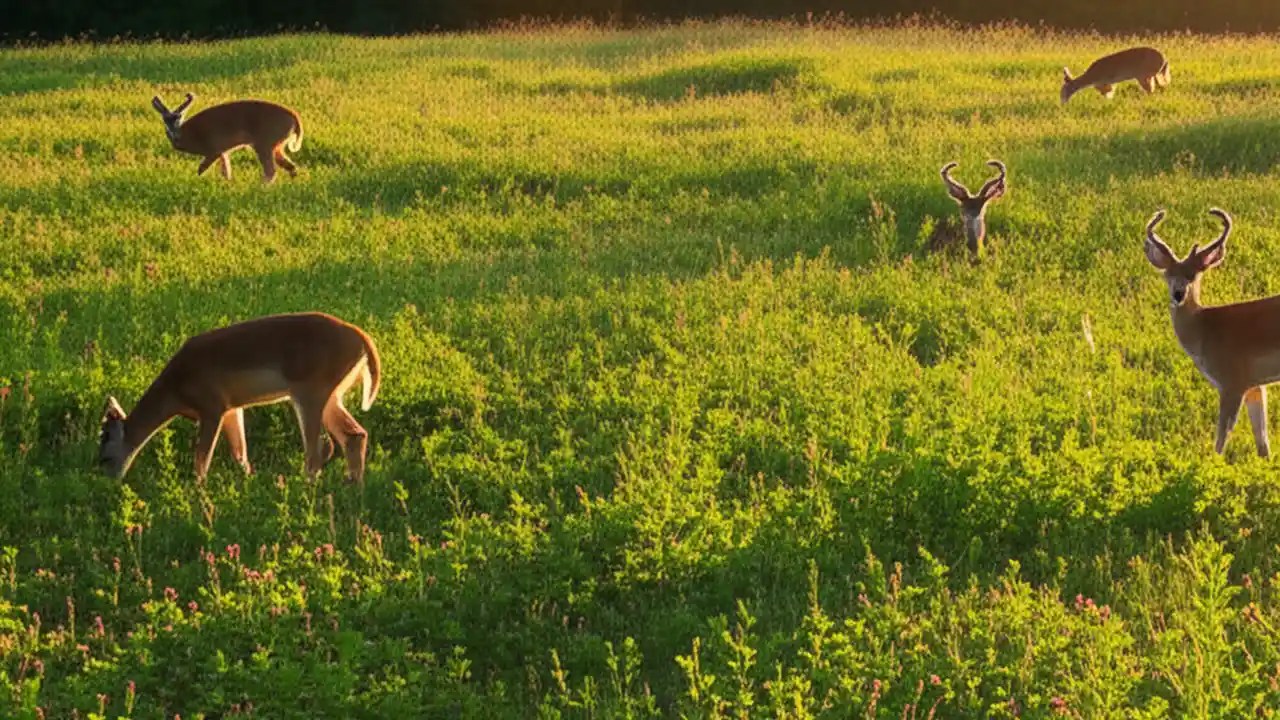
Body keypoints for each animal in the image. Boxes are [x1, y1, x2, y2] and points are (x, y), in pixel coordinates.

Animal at [98, 312, 381, 484]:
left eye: (105, 457)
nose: (109, 483)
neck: (176, 389)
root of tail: (362, 338)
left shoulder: (211, 406)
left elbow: (202, 458)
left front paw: (199, 493)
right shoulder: (231, 408)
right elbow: (240, 453)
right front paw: (247, 482)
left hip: (310, 392)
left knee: (318, 448)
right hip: (331, 394)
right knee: (354, 435)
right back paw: (353, 485)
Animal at [151, 93, 304, 183]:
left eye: (179, 117)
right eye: (165, 120)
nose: (174, 134)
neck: (194, 135)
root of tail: (295, 118)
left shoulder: (213, 148)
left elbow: (201, 169)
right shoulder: (222, 151)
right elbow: (226, 171)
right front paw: (227, 184)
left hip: (265, 141)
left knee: (271, 170)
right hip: (275, 144)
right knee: (290, 166)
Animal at [1143, 207, 1280, 459]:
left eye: (1193, 276)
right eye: (1167, 275)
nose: (1178, 294)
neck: (1204, 331)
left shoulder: (1233, 380)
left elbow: (1221, 437)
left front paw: (1212, 463)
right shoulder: (1255, 384)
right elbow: (1262, 441)